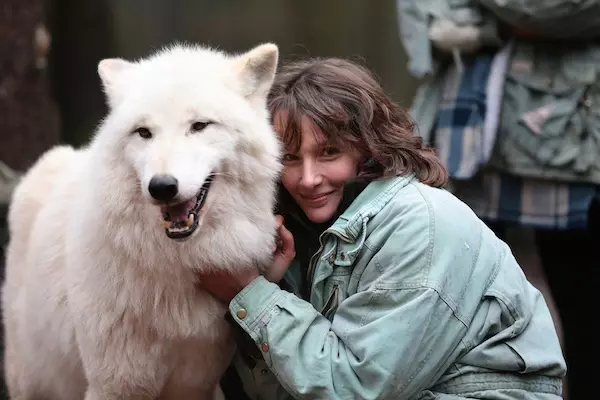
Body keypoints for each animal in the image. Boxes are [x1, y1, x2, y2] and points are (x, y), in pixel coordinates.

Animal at [1, 42, 282, 398]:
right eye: (144, 132)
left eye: (200, 126)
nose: (162, 186)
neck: (174, 271)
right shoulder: (114, 386)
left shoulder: (196, 385)